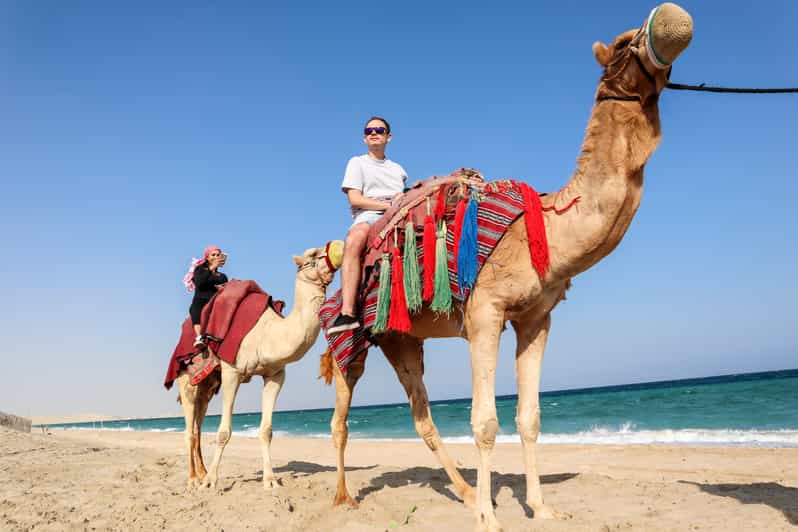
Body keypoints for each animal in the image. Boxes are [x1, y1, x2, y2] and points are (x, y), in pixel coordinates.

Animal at [176, 241, 343, 491]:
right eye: (313, 256)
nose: (337, 246)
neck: (268, 334)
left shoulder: (275, 374)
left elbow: (266, 431)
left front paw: (270, 480)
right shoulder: (231, 371)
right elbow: (224, 431)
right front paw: (212, 481)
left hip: (207, 386)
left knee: (197, 426)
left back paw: (202, 473)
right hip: (186, 379)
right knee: (189, 430)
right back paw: (194, 480)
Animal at [323, 4, 693, 531]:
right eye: (624, 45)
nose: (674, 19)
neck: (544, 229)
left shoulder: (536, 318)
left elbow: (529, 419)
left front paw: (539, 506)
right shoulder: (485, 313)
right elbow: (485, 422)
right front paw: (489, 516)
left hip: (401, 338)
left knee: (421, 415)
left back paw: (460, 492)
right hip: (353, 341)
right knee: (340, 418)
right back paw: (345, 498)